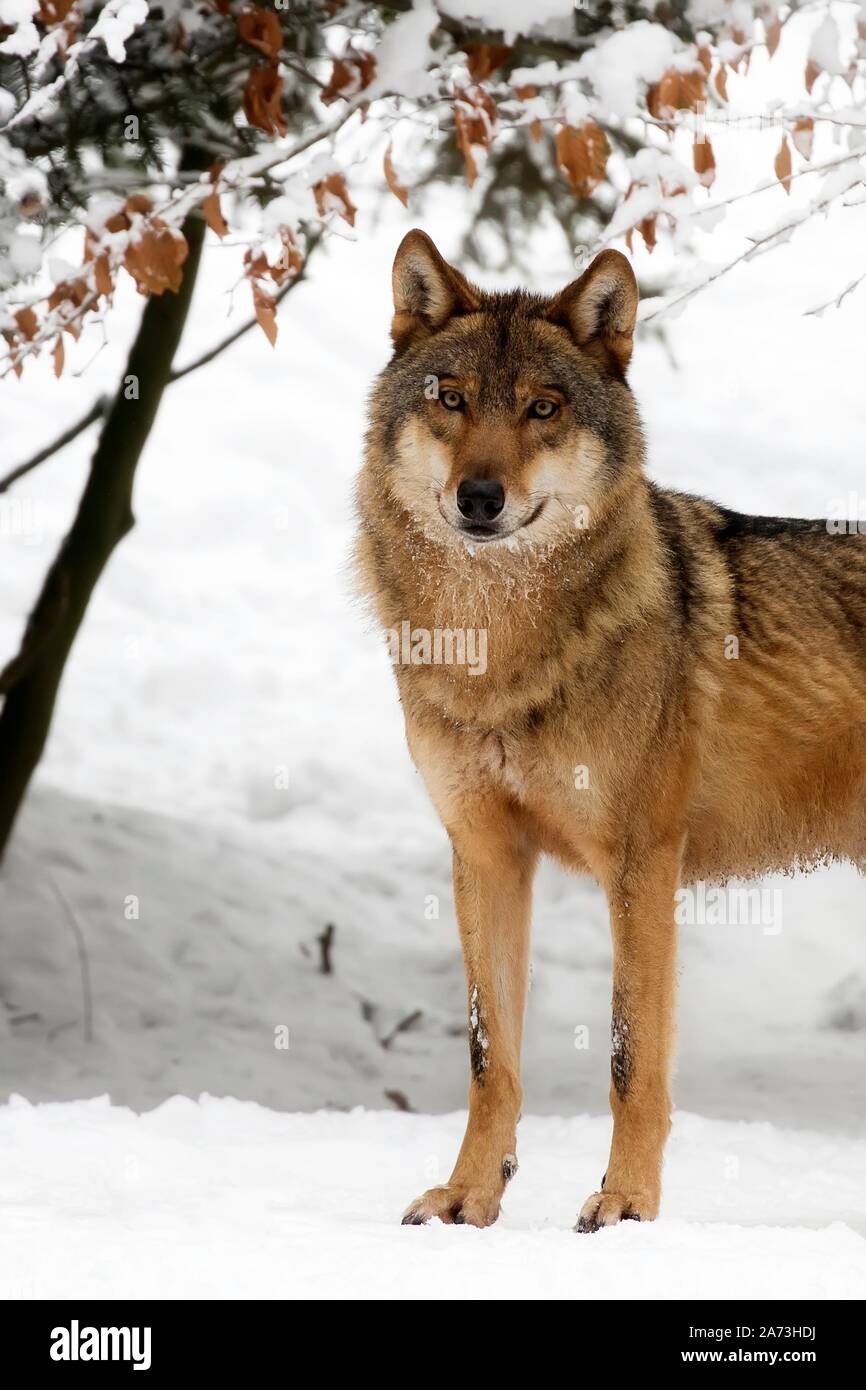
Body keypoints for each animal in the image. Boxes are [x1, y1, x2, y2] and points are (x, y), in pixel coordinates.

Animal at [355, 229, 866, 1231]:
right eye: (451, 399)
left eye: (542, 409)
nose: (480, 497)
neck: (499, 651)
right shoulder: (485, 853)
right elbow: (490, 1058)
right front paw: (470, 1198)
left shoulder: (641, 865)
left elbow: (634, 1058)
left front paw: (627, 1205)